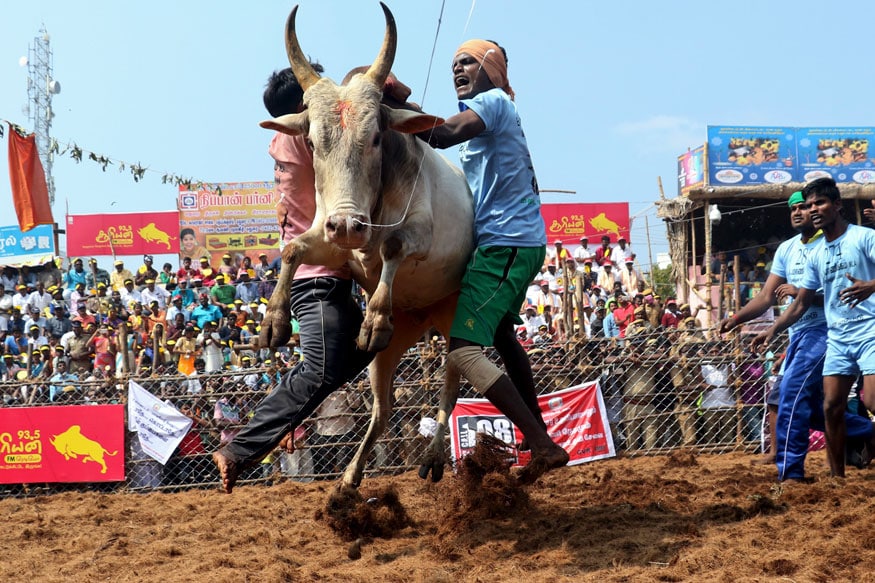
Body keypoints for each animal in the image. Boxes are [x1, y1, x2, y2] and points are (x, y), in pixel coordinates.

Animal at [258, 3, 472, 488]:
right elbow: (292, 250)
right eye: (312, 140)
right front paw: (275, 321)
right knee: (383, 410)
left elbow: (392, 246)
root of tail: (422, 317)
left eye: (375, 137)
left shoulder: (419, 232)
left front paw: (373, 317)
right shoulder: (327, 240)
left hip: (456, 322)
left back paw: (433, 457)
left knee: (450, 392)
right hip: (387, 355)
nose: (348, 226)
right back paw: (350, 477)